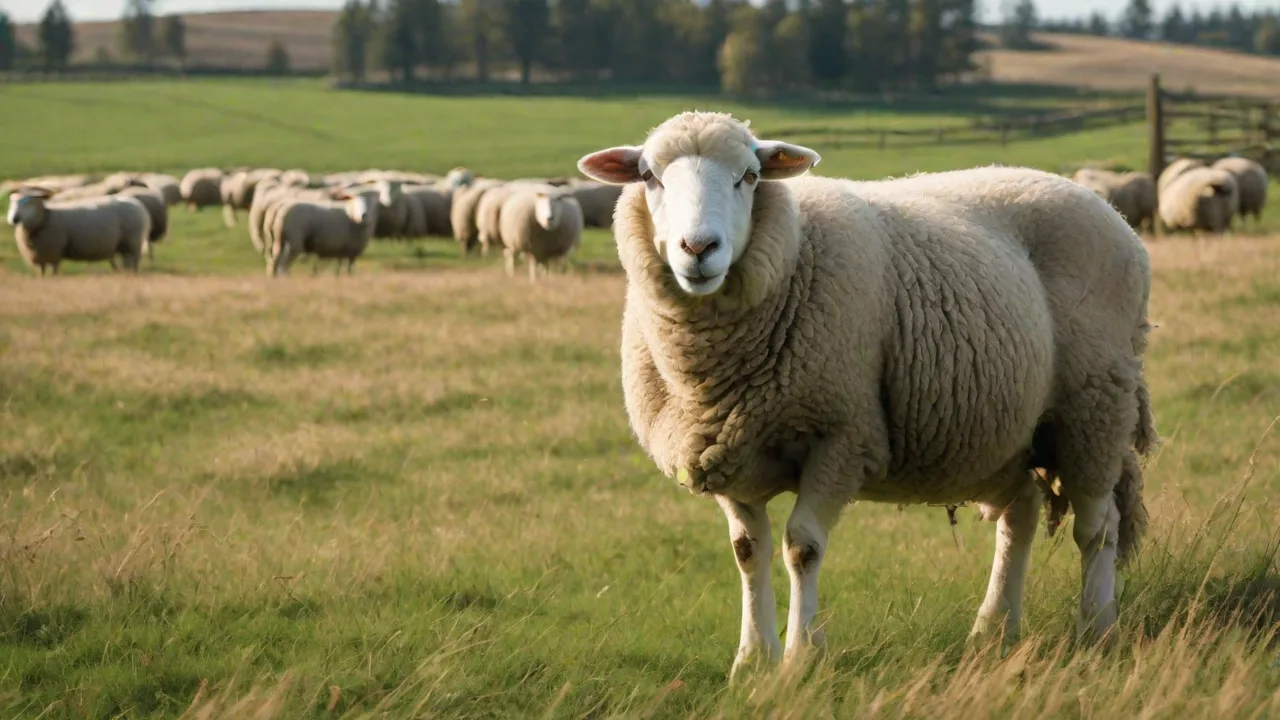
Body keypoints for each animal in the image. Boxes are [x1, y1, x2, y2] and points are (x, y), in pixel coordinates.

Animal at [8, 188, 151, 275]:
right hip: (124, 245)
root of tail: (137, 204)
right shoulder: (40, 255)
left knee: (133, 263)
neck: (44, 217)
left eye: (29, 203)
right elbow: (41, 273)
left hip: (132, 243)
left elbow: (53, 271)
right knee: (127, 263)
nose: (14, 219)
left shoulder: (54, 252)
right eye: (12, 203)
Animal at [578, 111, 1156, 678]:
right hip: (1014, 430)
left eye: (750, 176)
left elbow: (802, 547)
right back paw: (993, 631)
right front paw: (752, 659)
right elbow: (747, 551)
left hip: (1096, 405)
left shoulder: (842, 435)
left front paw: (801, 656)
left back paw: (1096, 629)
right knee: (1020, 519)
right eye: (649, 176)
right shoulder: (725, 448)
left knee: (1098, 528)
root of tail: (1108, 211)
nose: (699, 249)